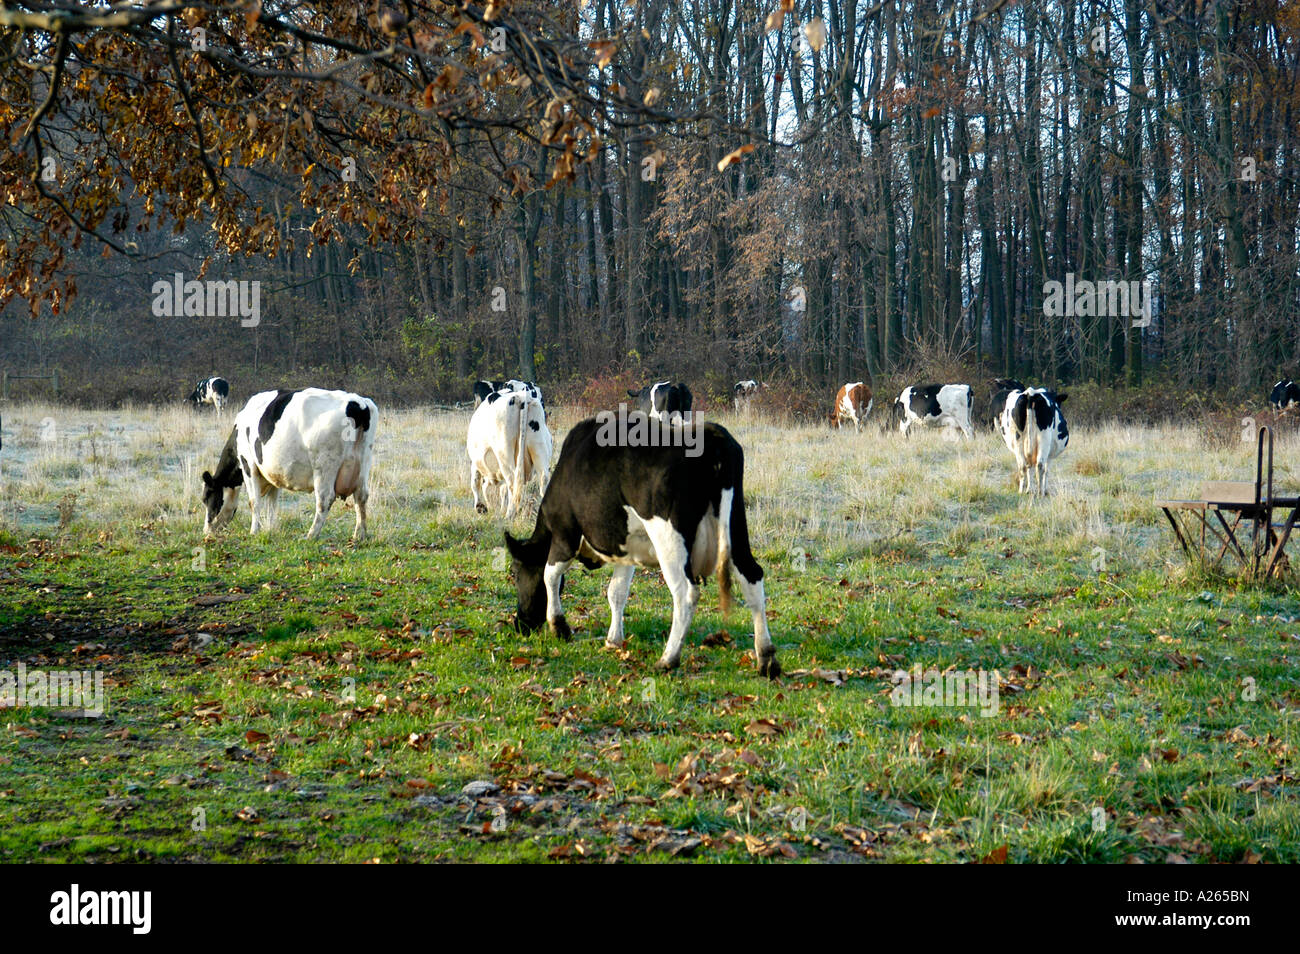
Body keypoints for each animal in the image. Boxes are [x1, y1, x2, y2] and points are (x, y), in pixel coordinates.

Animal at [201, 388, 378, 541]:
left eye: (207, 497)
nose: (206, 531)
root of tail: (358, 403)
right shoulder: (273, 474)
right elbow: (272, 505)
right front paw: (270, 529)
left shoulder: (248, 464)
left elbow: (254, 502)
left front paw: (254, 532)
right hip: (364, 462)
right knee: (361, 496)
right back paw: (359, 535)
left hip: (324, 465)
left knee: (325, 499)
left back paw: (311, 535)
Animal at [467, 387, 552, 519]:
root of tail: (522, 397)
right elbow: (500, 489)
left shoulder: (475, 462)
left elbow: (475, 483)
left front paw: (480, 507)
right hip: (539, 448)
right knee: (544, 480)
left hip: (504, 454)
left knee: (513, 482)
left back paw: (509, 515)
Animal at [503, 416, 779, 677]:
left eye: (516, 573)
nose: (520, 625)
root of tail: (710, 433)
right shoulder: (627, 550)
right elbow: (616, 592)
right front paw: (613, 640)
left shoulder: (565, 533)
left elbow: (549, 575)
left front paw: (559, 626)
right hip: (736, 527)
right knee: (752, 576)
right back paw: (766, 659)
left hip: (669, 538)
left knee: (685, 592)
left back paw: (668, 659)